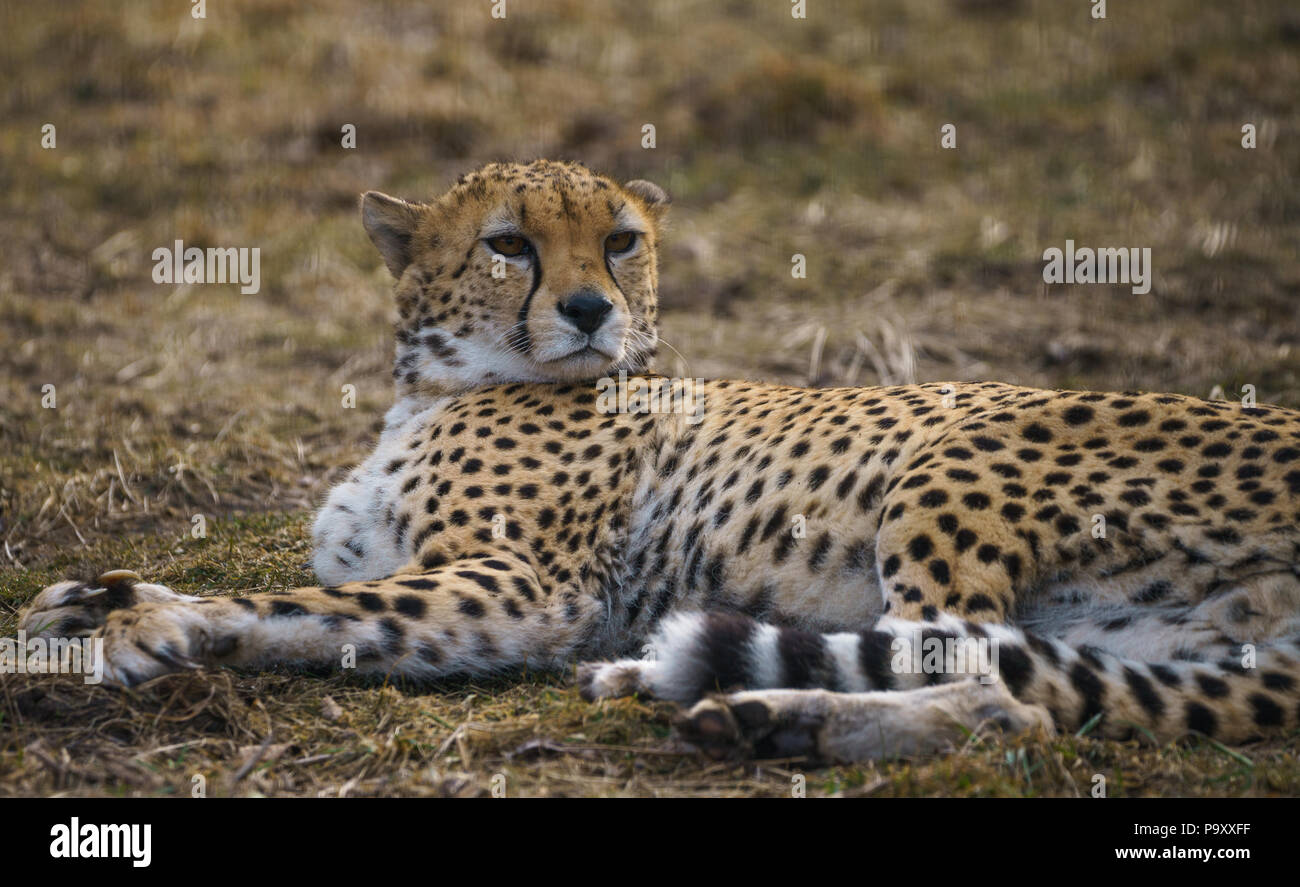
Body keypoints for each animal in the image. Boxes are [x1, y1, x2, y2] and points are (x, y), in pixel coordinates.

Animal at [19, 159, 1300, 762]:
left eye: (622, 241)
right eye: (509, 244)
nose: (589, 307)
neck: (437, 385)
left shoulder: (525, 586)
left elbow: (290, 601)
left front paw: (134, 622)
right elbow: (317, 606)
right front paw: (98, 598)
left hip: (956, 453)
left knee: (1002, 695)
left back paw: (776, 714)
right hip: (1135, 633)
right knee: (1030, 686)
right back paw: (703, 690)